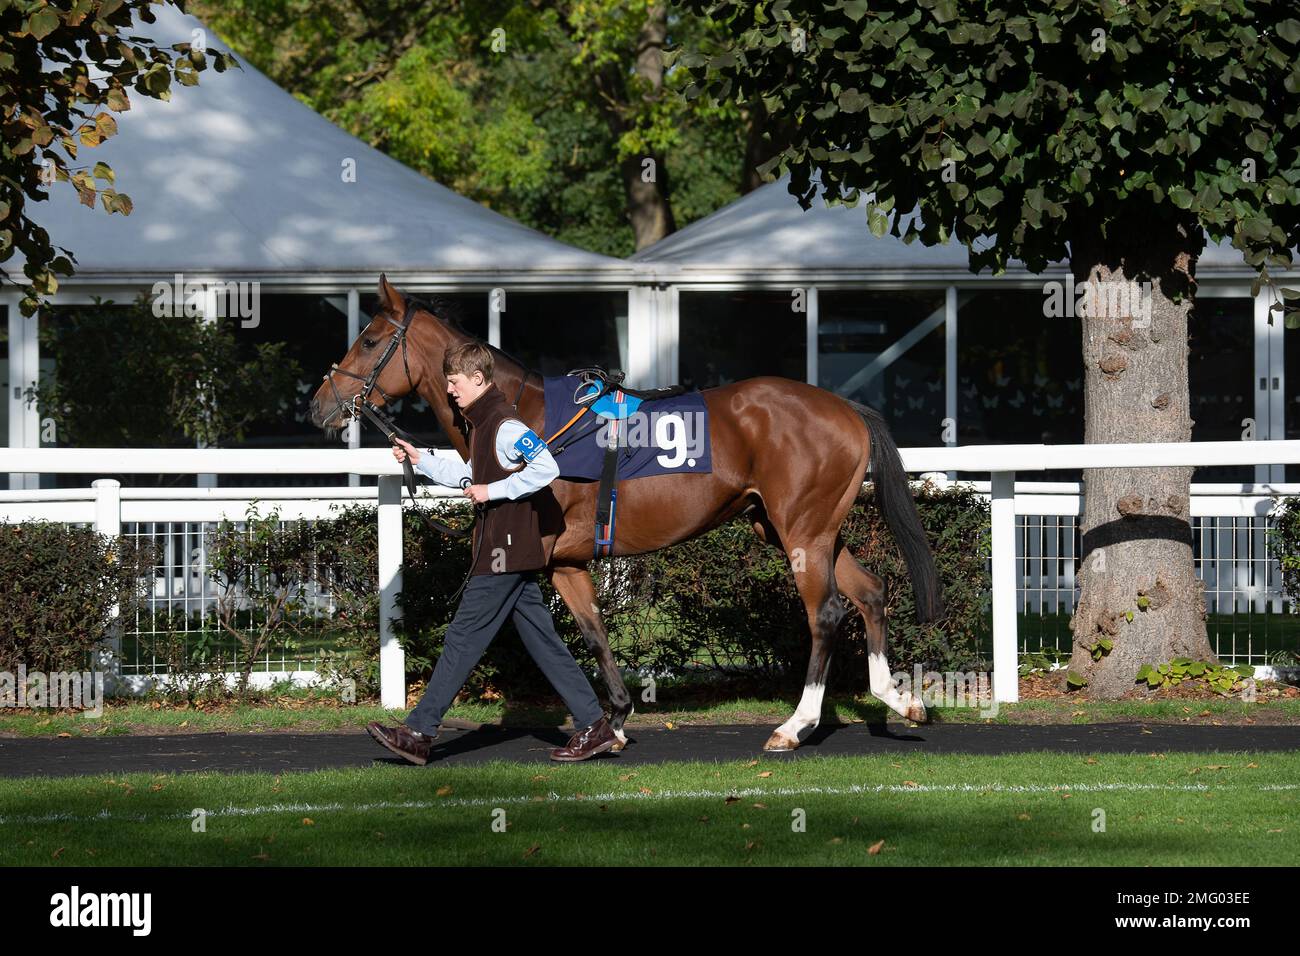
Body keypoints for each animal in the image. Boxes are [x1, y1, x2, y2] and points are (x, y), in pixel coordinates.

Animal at [309, 275, 944, 751]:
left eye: (370, 341)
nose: (320, 405)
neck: (529, 419)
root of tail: (848, 408)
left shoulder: (532, 556)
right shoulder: (564, 563)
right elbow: (590, 634)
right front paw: (611, 721)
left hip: (802, 533)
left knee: (826, 613)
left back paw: (794, 726)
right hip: (806, 530)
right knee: (870, 592)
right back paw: (901, 699)